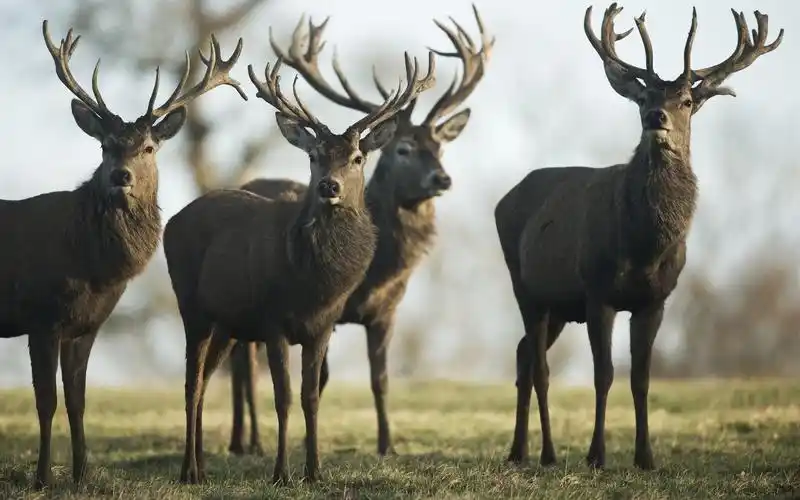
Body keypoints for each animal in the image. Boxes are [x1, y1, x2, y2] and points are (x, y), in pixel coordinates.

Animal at [0, 21, 245, 489]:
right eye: (105, 146)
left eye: (148, 148)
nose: (121, 176)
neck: (92, 266)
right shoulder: (41, 316)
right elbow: (46, 401)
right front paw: (41, 479)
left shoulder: (86, 326)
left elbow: (77, 401)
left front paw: (81, 476)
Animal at [162, 44, 436, 484]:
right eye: (314, 156)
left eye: (357, 157)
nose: (329, 186)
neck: (314, 283)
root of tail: (172, 220)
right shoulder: (273, 320)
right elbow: (284, 397)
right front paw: (280, 473)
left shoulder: (322, 326)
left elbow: (311, 396)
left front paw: (315, 471)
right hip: (192, 306)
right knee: (192, 383)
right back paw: (191, 471)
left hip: (227, 323)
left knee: (205, 382)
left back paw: (202, 464)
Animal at [225, 6, 493, 458]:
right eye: (403, 148)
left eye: (440, 146)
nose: (442, 178)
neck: (378, 273)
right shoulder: (326, 313)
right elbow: (319, 381)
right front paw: (305, 444)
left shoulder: (387, 311)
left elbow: (379, 379)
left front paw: (387, 446)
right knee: (243, 365)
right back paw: (248, 442)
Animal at [495, 3, 782, 471]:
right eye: (644, 98)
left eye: (686, 101)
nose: (656, 118)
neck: (644, 246)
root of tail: (504, 199)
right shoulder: (598, 293)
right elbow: (604, 375)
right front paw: (596, 455)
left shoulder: (656, 299)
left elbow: (642, 379)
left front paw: (646, 456)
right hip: (525, 287)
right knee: (539, 366)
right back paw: (546, 453)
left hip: (559, 305)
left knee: (523, 355)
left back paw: (519, 452)